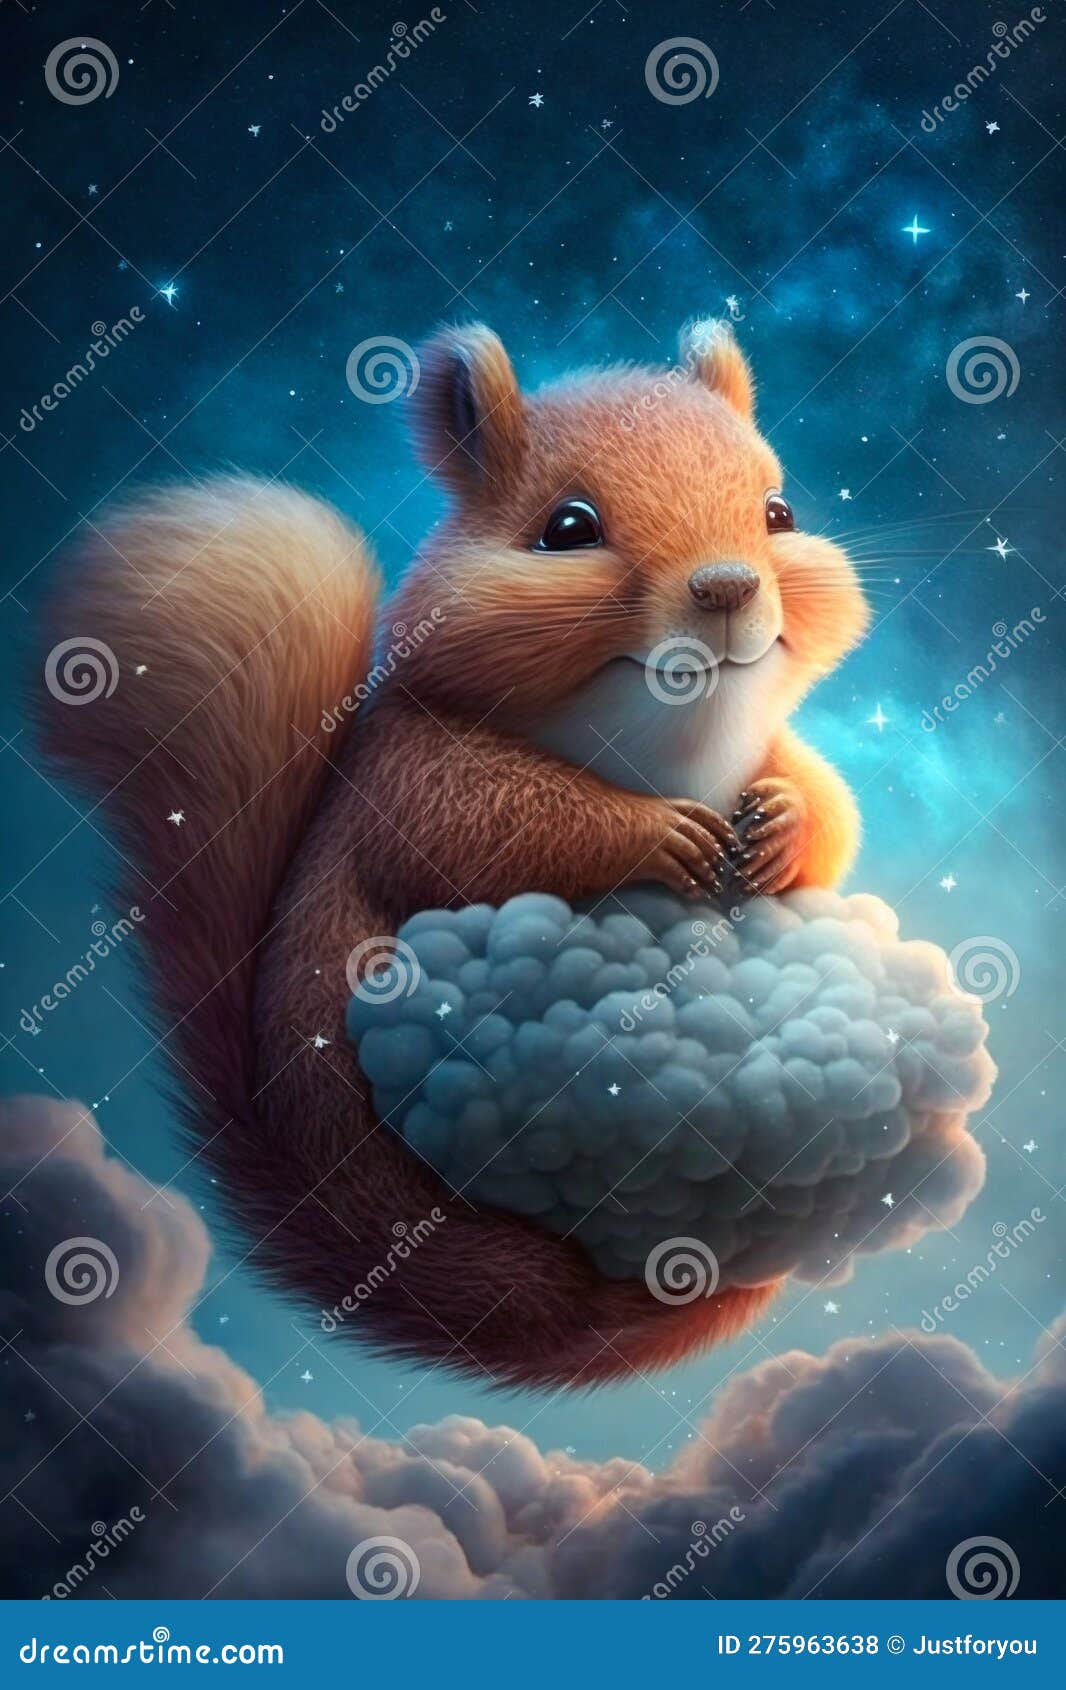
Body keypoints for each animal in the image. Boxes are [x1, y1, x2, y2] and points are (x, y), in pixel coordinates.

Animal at [36, 320, 868, 1389]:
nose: (726, 586)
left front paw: (783, 825)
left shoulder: (768, 747)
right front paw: (656, 833)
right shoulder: (407, 770)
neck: (675, 739)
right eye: (566, 528)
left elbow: (832, 808)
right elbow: (475, 827)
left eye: (779, 511)